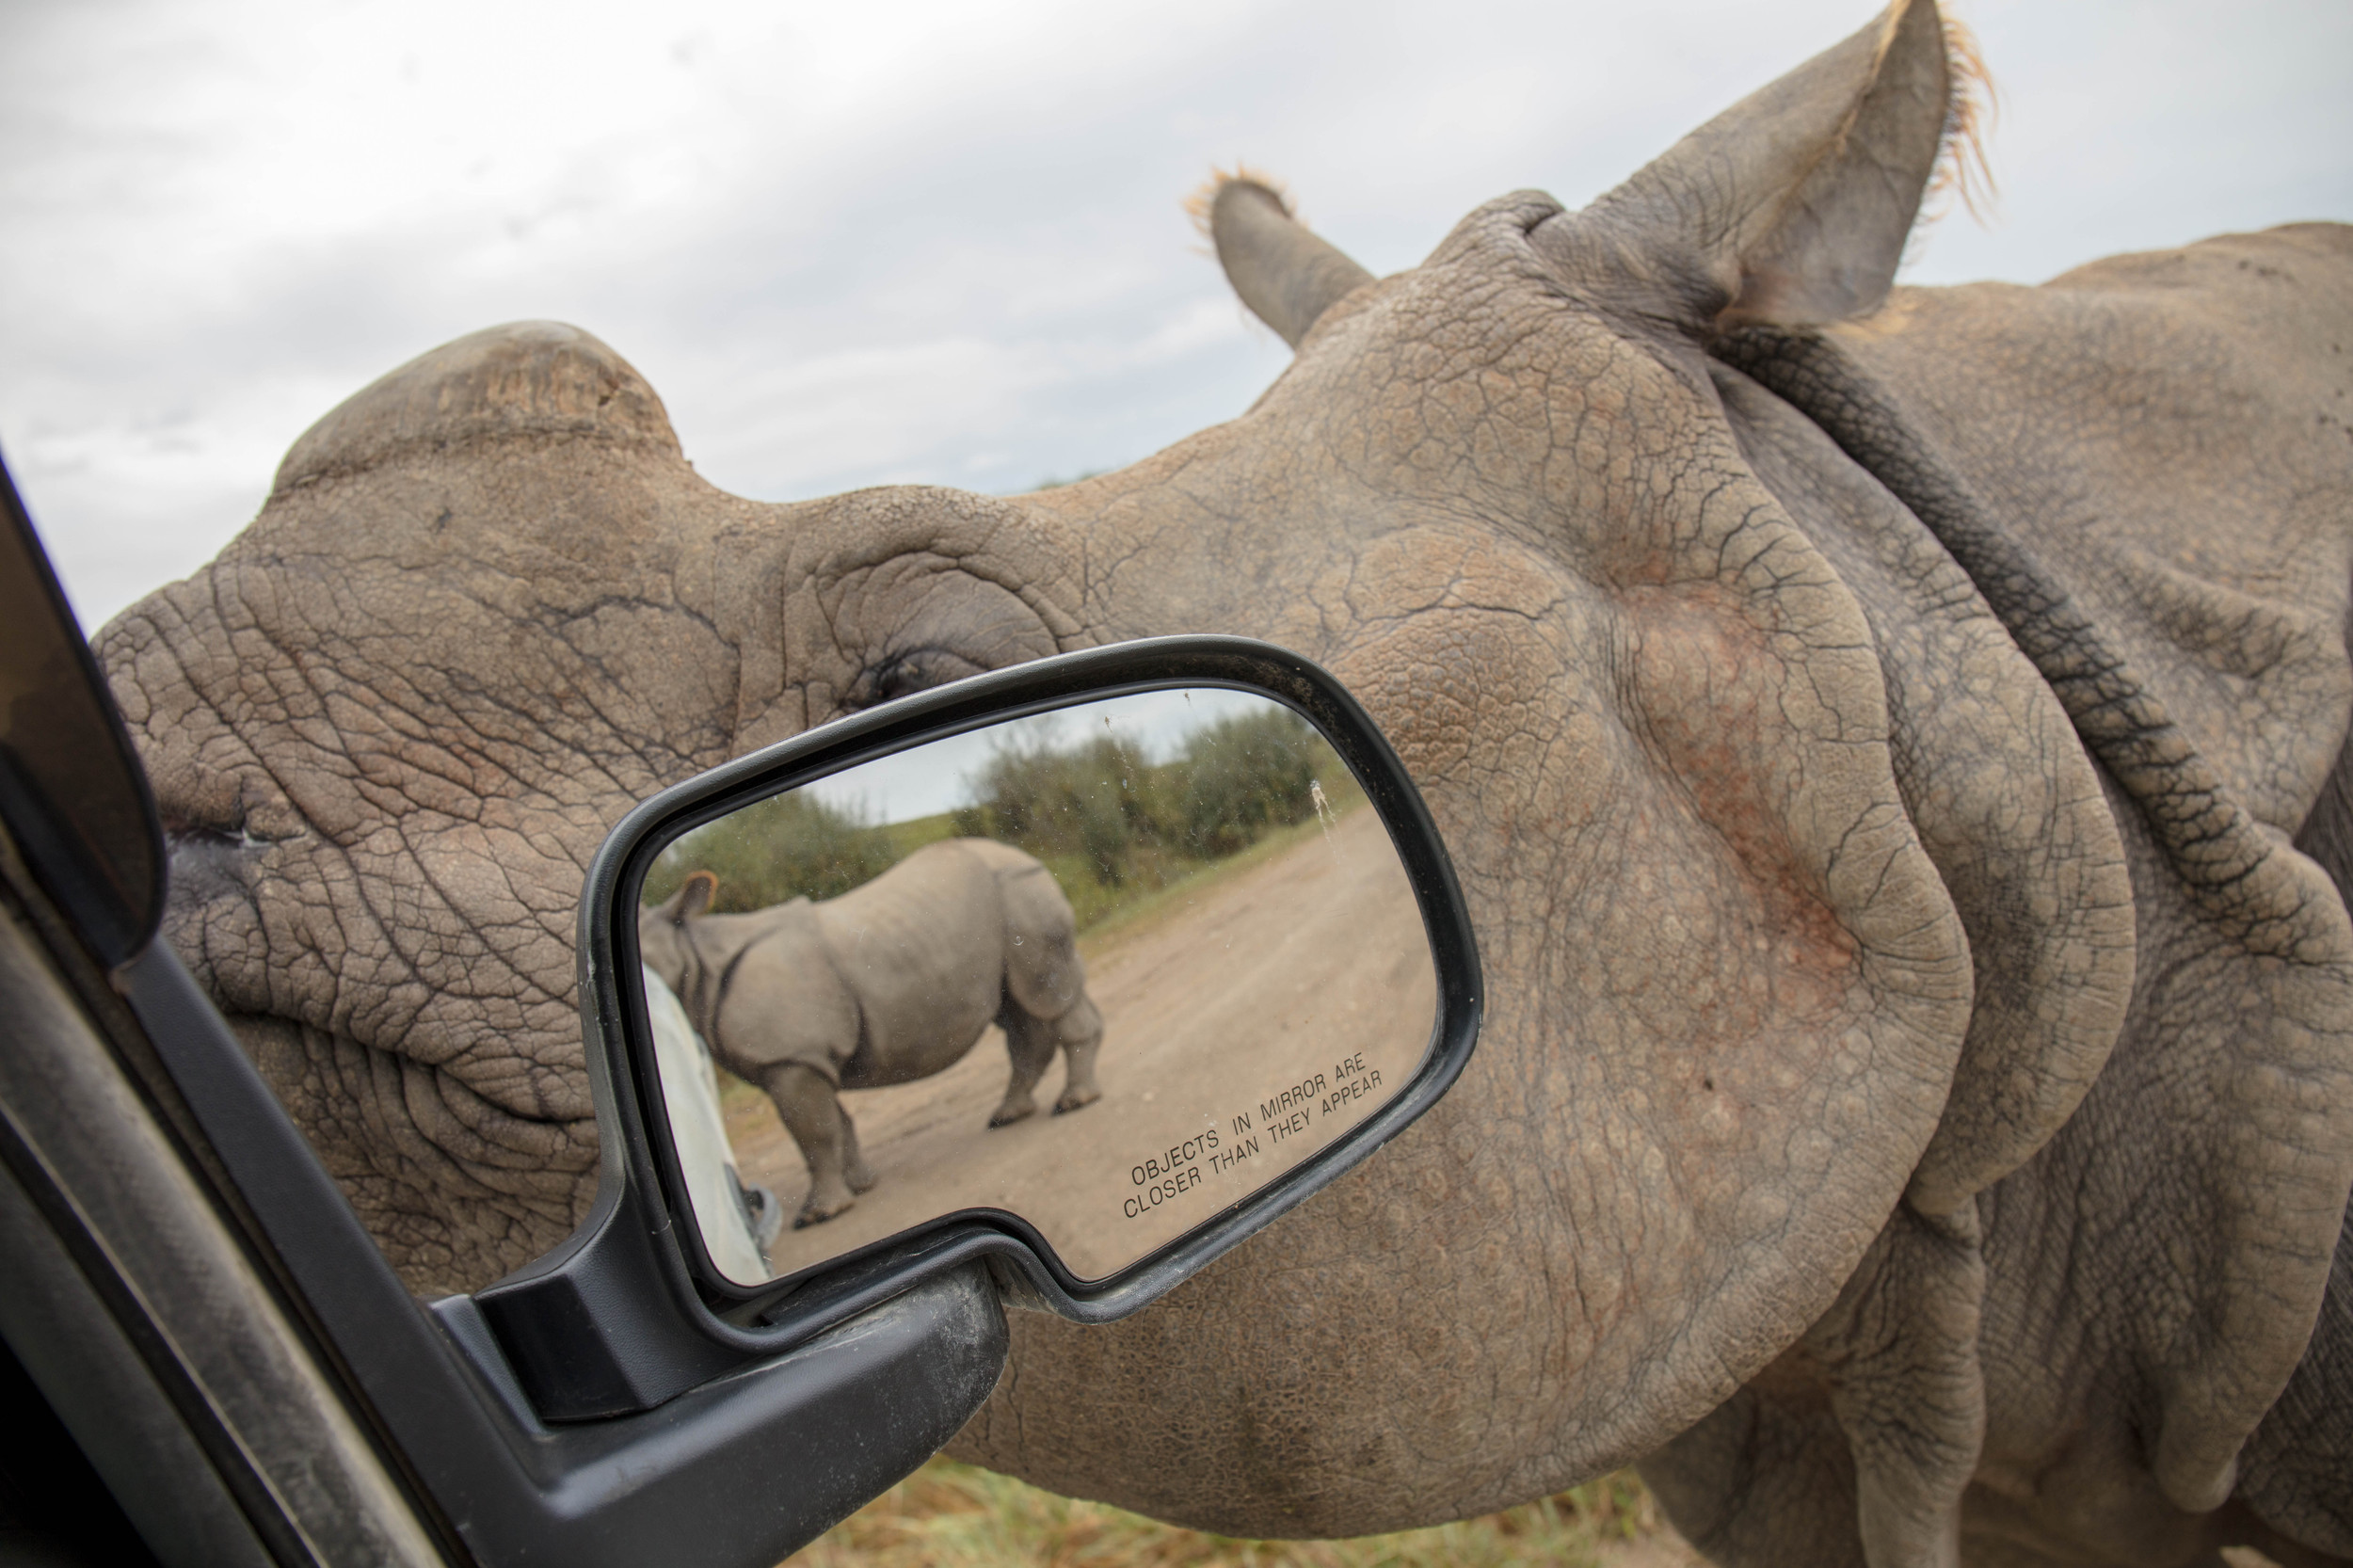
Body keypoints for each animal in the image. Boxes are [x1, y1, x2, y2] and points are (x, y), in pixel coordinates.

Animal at [637, 841, 1105, 1228]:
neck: (694, 953)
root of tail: (1027, 856)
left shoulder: (791, 1058)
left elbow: (811, 1131)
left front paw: (820, 1214)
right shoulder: (803, 1057)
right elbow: (836, 1122)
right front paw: (862, 1185)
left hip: (1020, 893)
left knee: (1048, 997)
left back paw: (1074, 1103)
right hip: (1011, 904)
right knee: (1021, 1013)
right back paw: (1009, 1115)